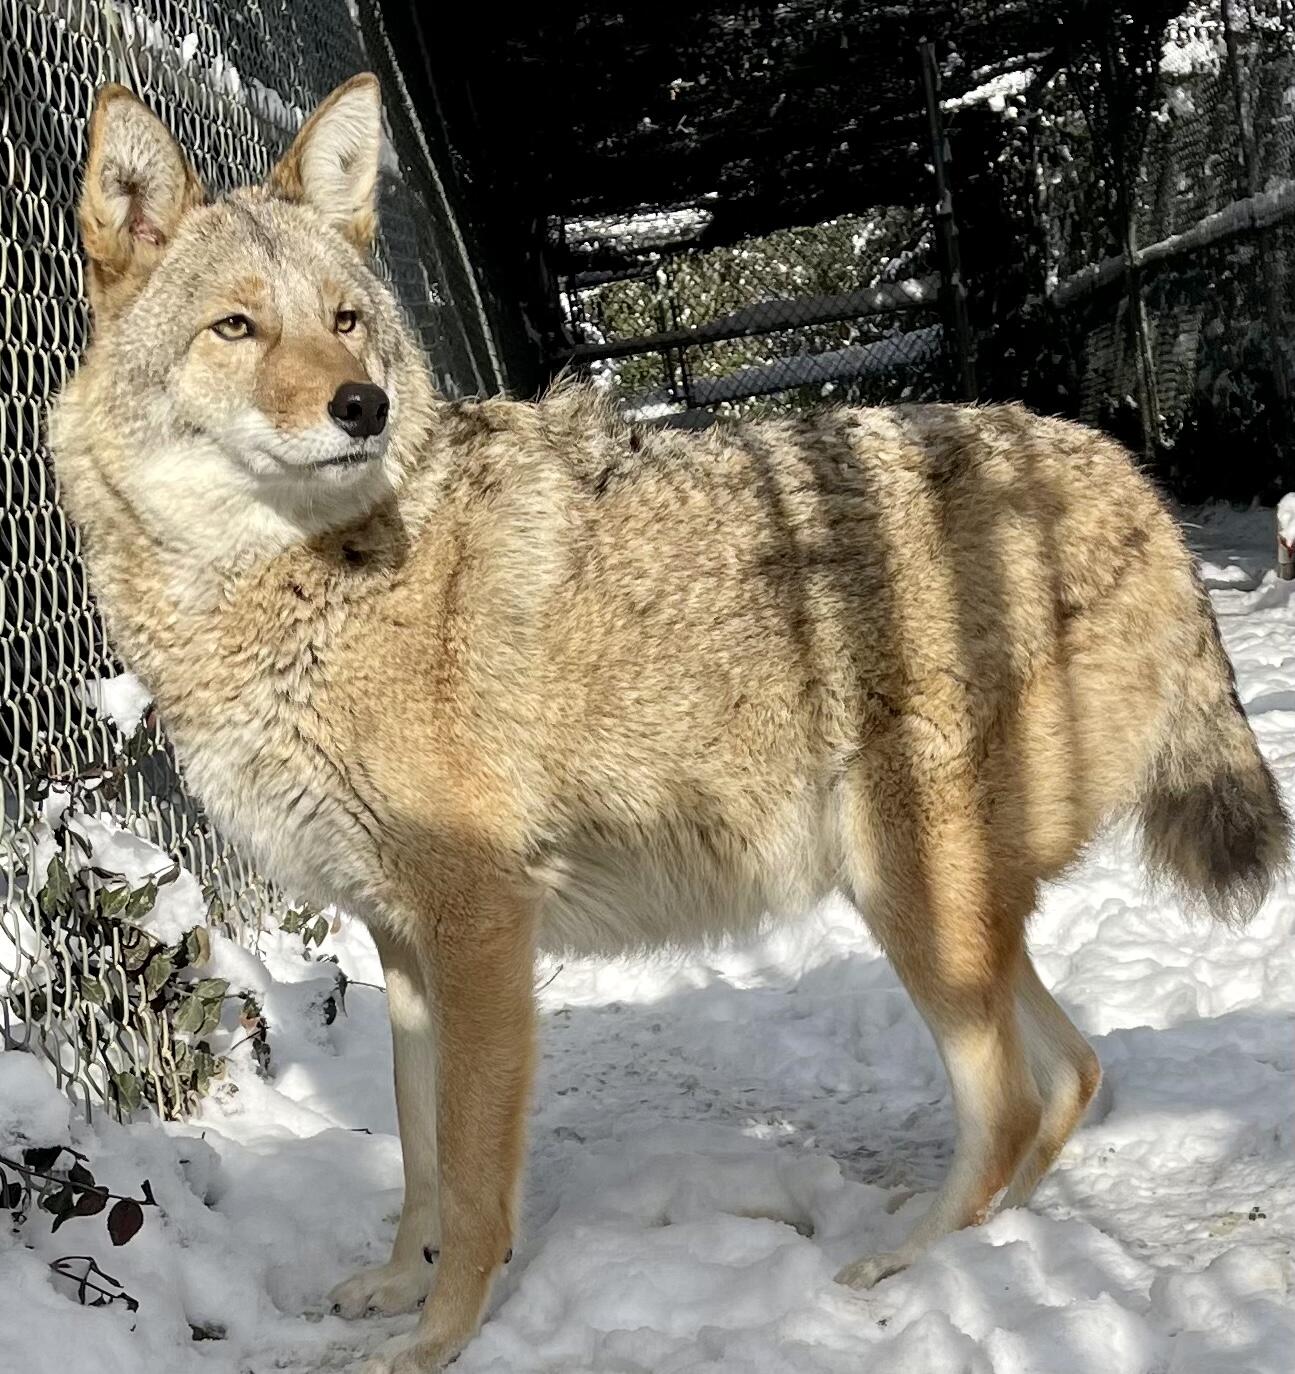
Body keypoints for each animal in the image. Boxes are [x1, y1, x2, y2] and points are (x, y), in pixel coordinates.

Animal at [49, 76, 1288, 1372]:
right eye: (236, 328)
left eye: (345, 321)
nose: (362, 406)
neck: (310, 581)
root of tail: (1128, 481)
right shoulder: (400, 942)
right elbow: (417, 1155)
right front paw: (393, 1286)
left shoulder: (480, 928)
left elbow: (474, 1179)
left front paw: (435, 1342)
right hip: (941, 914)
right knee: (1072, 1076)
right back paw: (992, 1241)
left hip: (913, 904)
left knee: (1005, 1104)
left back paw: (904, 1265)